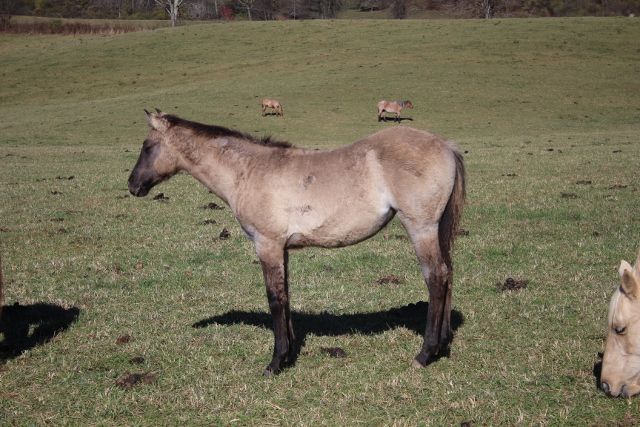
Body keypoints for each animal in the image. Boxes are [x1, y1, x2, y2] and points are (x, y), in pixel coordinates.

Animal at [128, 109, 465, 376]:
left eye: (147, 146)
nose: (132, 186)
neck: (248, 171)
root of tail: (447, 146)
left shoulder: (267, 244)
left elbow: (275, 299)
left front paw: (275, 363)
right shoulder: (282, 249)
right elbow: (286, 296)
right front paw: (289, 355)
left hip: (420, 227)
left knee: (436, 278)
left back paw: (425, 354)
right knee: (448, 274)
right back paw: (443, 345)